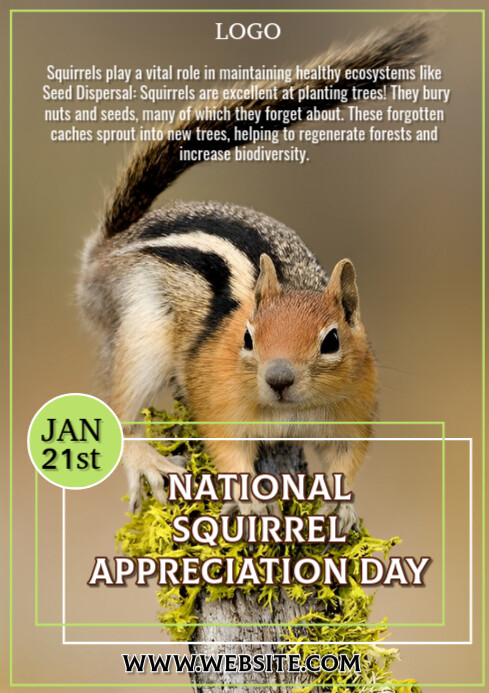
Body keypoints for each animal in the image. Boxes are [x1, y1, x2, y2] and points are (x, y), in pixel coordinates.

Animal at [78, 20, 431, 533]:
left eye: (331, 341)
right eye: (248, 337)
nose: (278, 378)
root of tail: (106, 252)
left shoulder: (353, 410)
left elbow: (347, 460)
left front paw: (342, 506)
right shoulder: (220, 403)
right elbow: (226, 450)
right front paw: (249, 501)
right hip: (142, 337)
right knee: (123, 413)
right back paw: (149, 463)